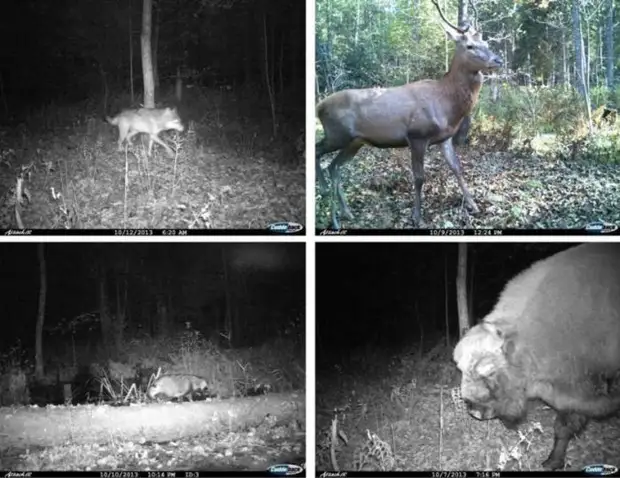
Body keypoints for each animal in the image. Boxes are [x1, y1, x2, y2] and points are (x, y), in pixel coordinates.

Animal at [450, 245, 620, 468]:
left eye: (490, 371)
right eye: (460, 369)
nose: (474, 411)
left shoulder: (579, 386)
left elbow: (565, 426)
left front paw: (552, 461)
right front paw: (553, 461)